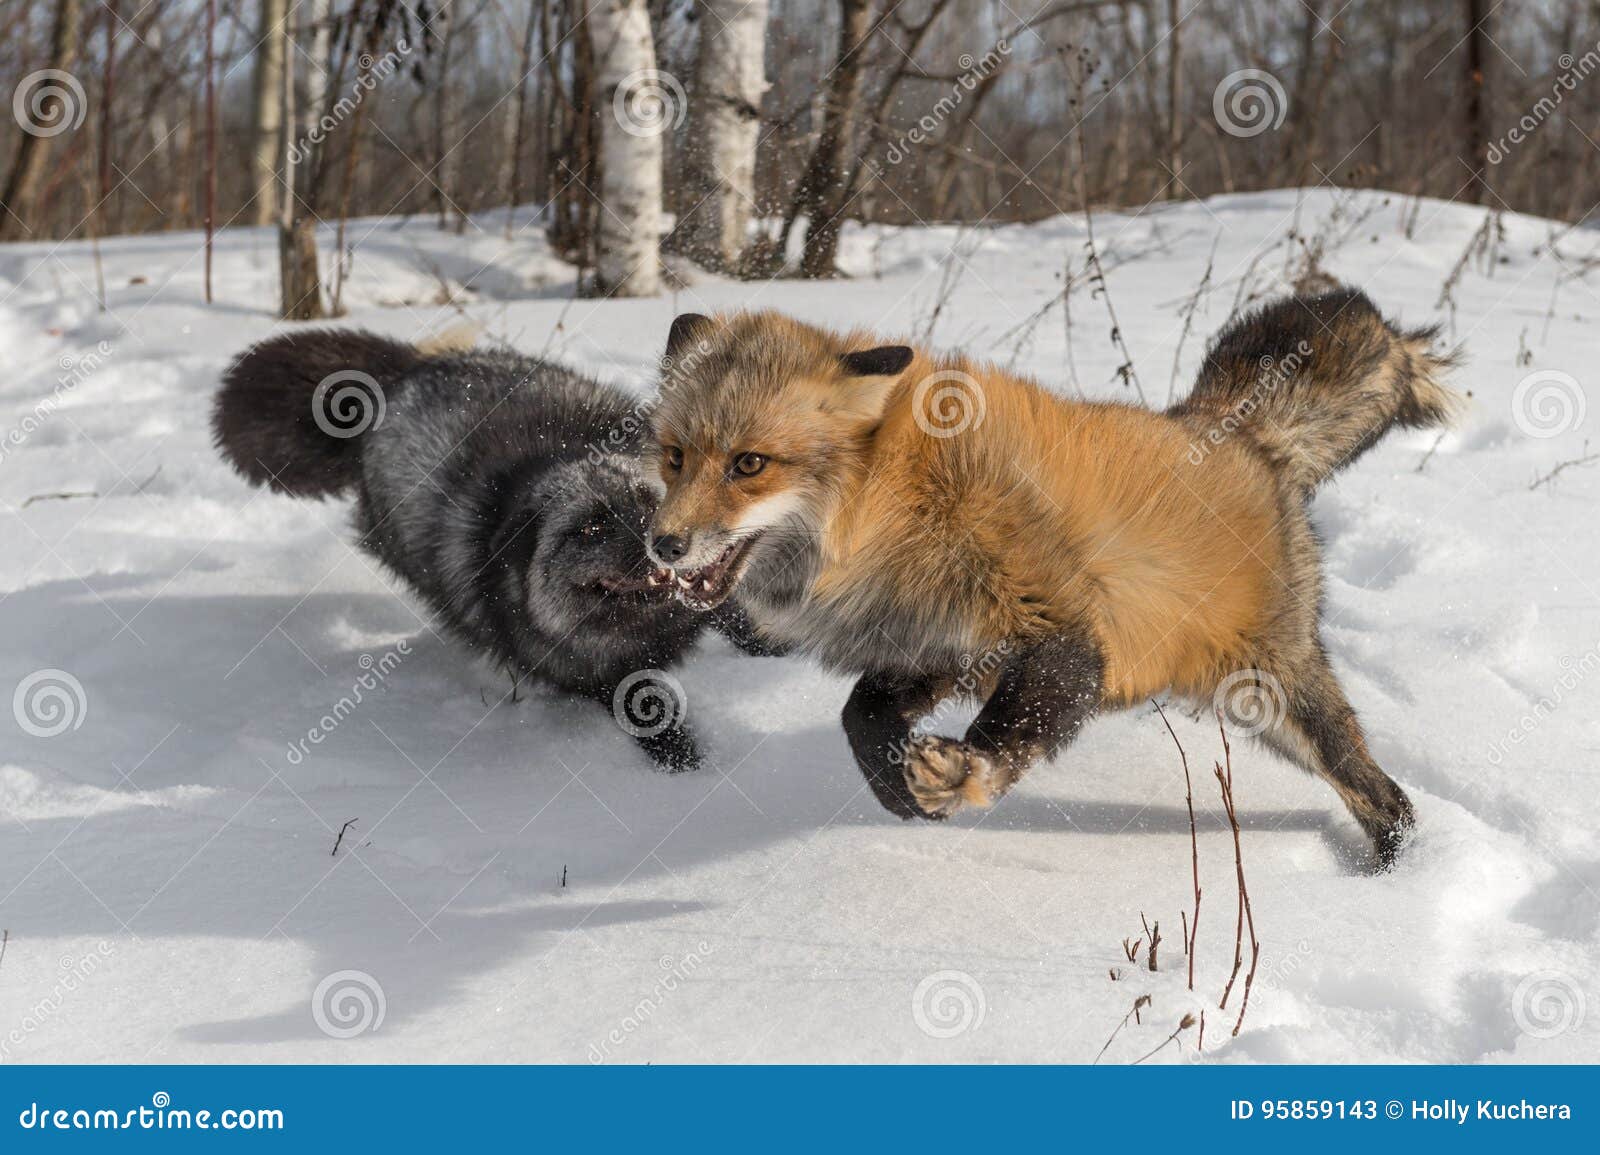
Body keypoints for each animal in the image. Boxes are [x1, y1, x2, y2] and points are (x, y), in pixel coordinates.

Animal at [643, 290, 1462, 865]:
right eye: (675, 457)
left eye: (750, 464)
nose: (663, 545)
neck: (896, 503)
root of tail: (1236, 432)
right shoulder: (937, 644)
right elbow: (858, 716)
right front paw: (897, 793)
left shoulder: (1059, 626)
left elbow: (1005, 735)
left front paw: (962, 777)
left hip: (1274, 697)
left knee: (1385, 797)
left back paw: (1396, 878)